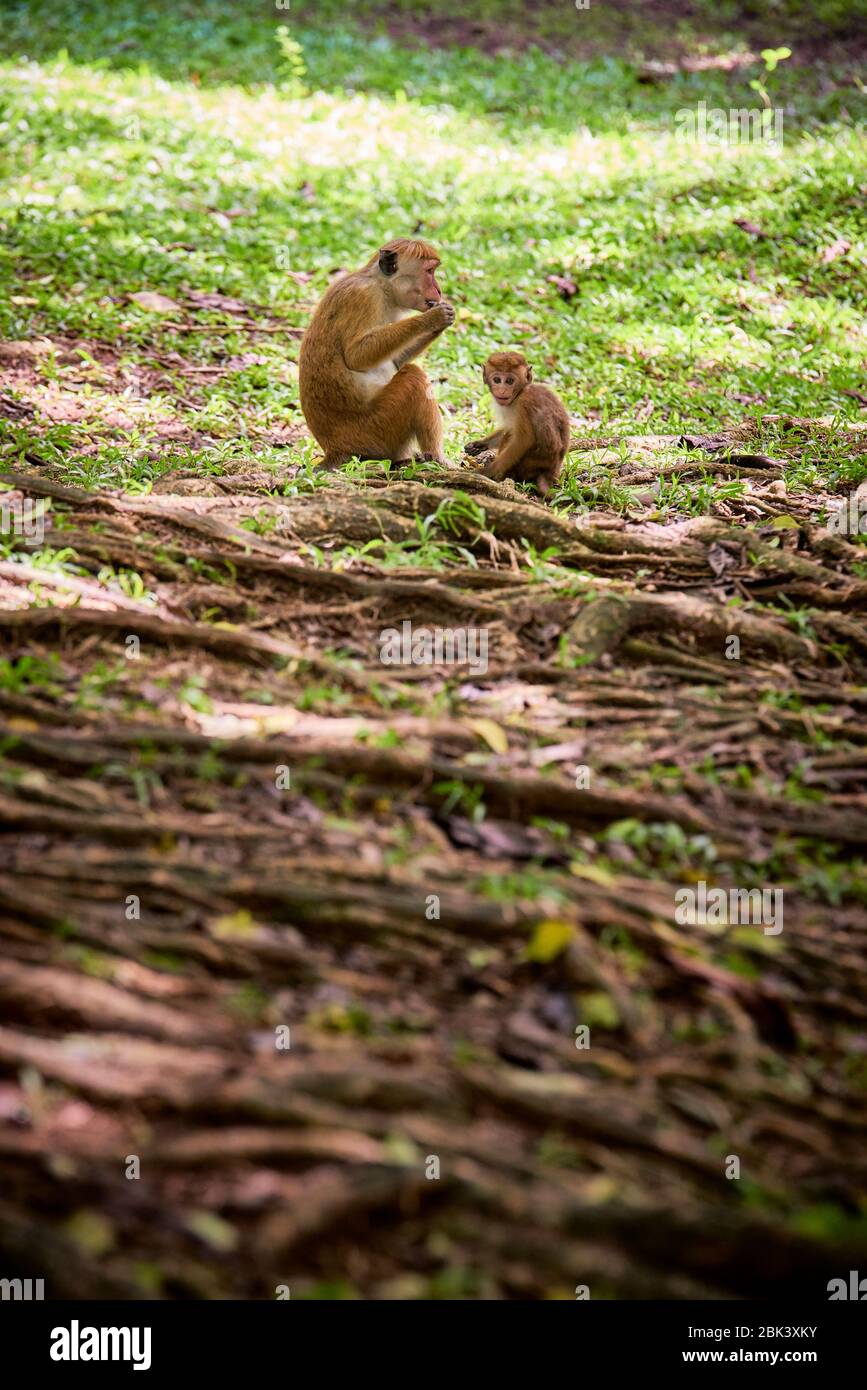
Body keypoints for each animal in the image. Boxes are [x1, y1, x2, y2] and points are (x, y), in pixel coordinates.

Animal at [298, 238, 455, 469]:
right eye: (429, 271)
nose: (439, 290)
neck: (383, 287)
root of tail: (335, 449)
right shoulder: (364, 297)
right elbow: (356, 356)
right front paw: (432, 319)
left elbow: (396, 360)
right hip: (375, 431)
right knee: (414, 377)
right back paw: (436, 458)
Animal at [465, 352, 571, 498]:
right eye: (497, 380)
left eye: (510, 381)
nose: (502, 390)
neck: (521, 392)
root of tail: (550, 472)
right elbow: (509, 428)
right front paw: (479, 444)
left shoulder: (523, 404)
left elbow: (523, 440)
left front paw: (487, 472)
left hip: (529, 464)